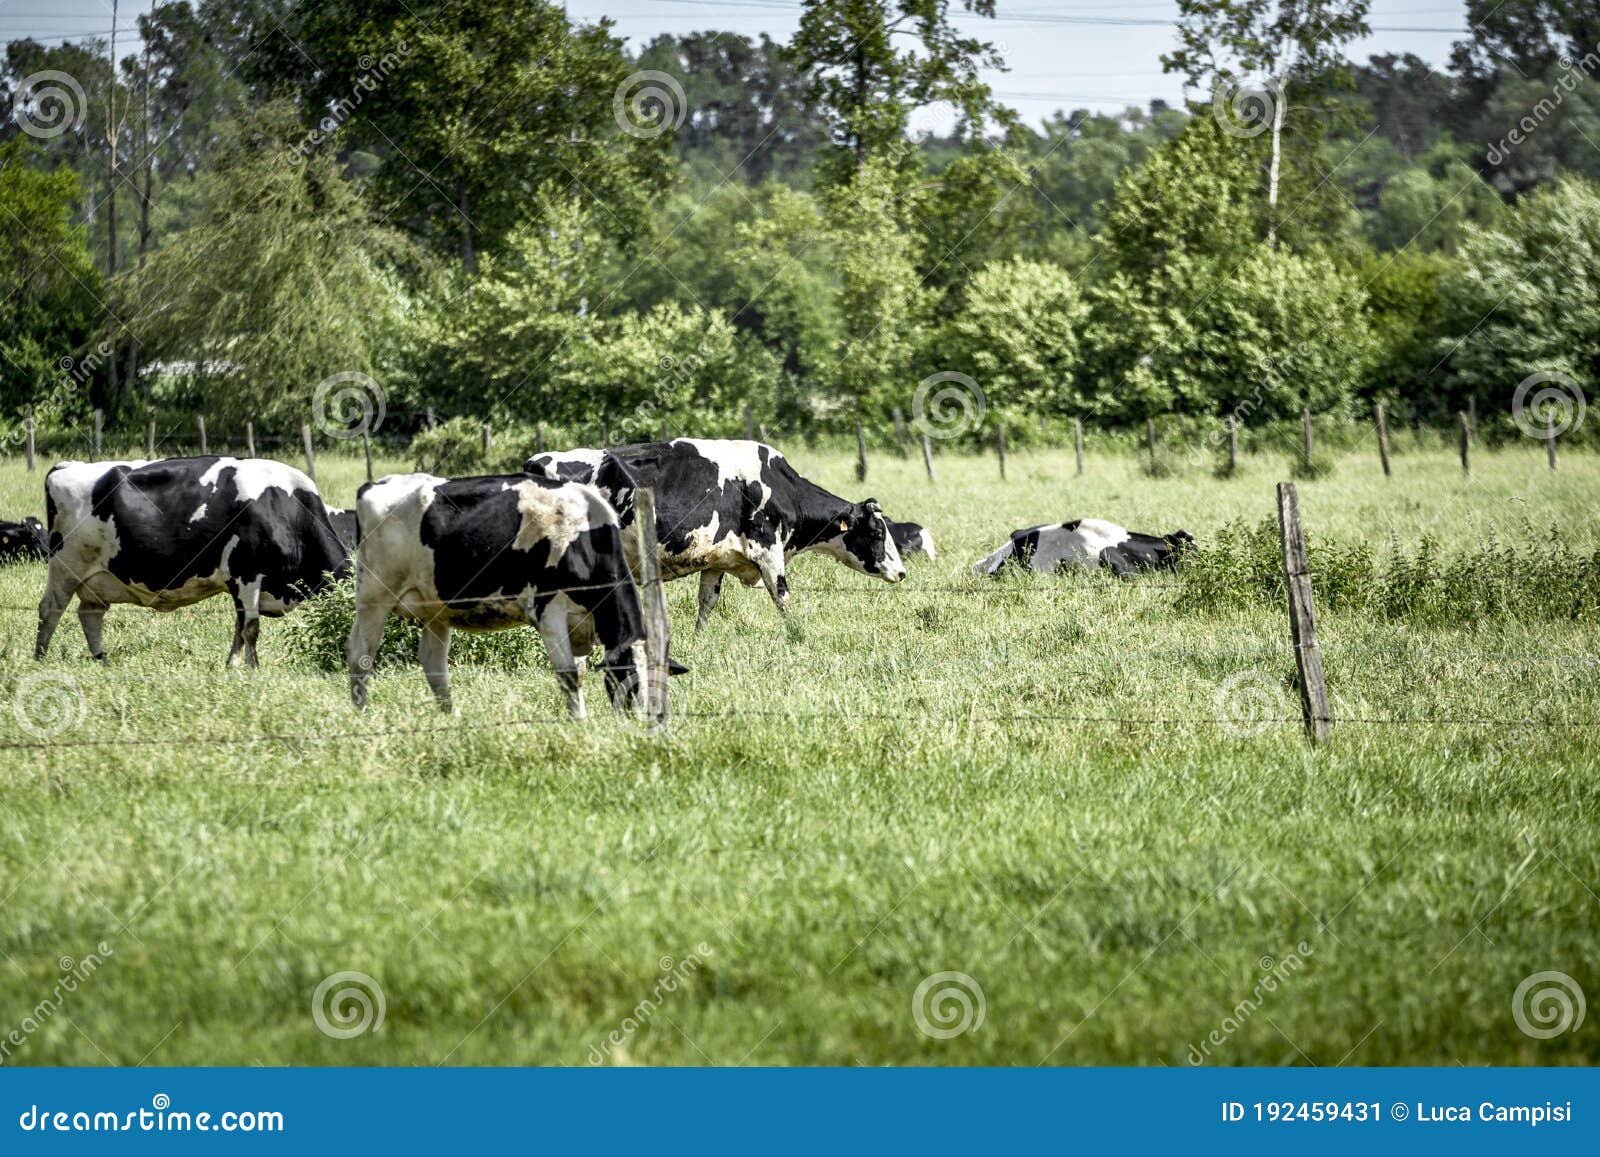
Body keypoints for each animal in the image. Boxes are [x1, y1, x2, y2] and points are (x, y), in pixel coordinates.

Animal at [36, 456, 351, 666]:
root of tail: (67, 465)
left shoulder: (242, 583)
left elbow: (239, 626)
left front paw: (232, 665)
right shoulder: (246, 573)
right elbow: (251, 626)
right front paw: (254, 669)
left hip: (98, 577)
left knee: (89, 614)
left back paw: (102, 659)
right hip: (66, 564)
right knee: (50, 609)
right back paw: (40, 658)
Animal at [347, 471, 671, 716]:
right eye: (630, 681)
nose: (643, 719)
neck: (583, 533)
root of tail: (374, 484)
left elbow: (577, 673)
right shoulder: (548, 608)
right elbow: (567, 674)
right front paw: (579, 721)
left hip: (435, 607)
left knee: (433, 664)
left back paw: (452, 716)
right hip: (373, 596)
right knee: (360, 655)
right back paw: (363, 714)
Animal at [524, 439, 906, 629]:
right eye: (876, 532)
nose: (902, 572)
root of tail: (536, 461)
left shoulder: (716, 559)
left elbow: (707, 601)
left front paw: (699, 636)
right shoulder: (768, 549)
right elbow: (782, 597)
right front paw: (798, 634)